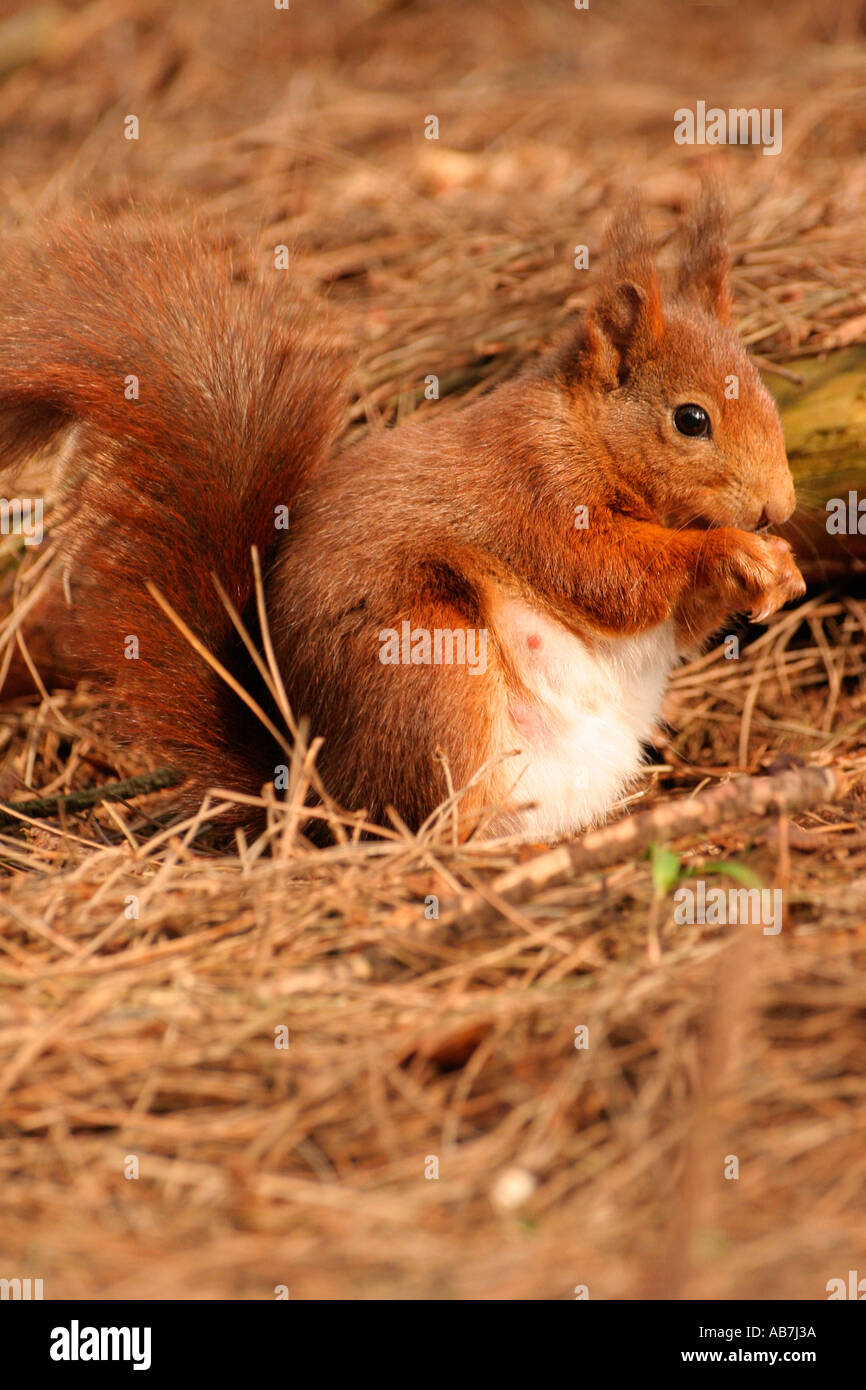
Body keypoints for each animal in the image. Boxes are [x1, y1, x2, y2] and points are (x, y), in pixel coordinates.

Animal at [0, 191, 805, 839]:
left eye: (767, 389)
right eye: (691, 419)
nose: (781, 506)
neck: (583, 430)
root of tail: (316, 790)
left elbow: (677, 622)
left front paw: (780, 572)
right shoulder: (533, 488)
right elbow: (609, 577)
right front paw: (732, 552)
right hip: (431, 667)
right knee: (426, 820)